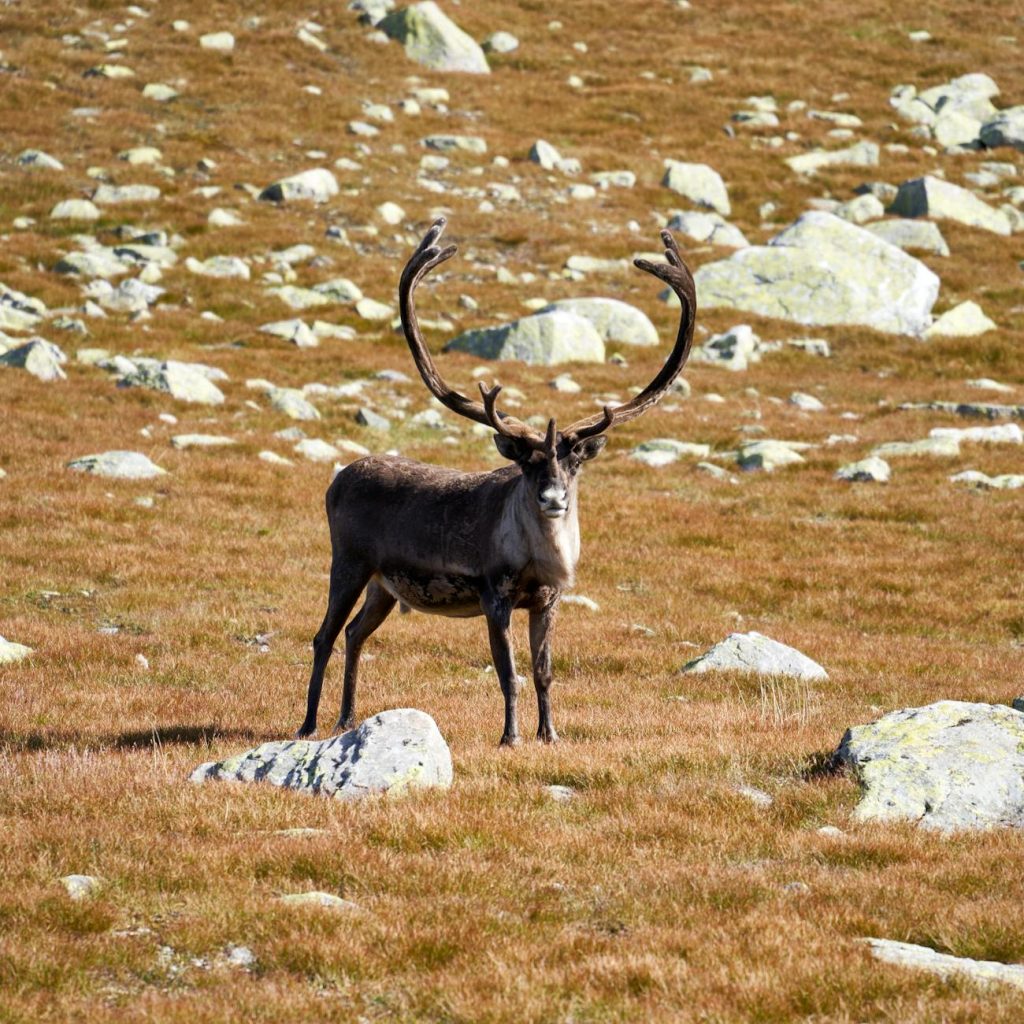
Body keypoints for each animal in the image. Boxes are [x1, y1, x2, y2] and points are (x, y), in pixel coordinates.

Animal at [297, 218, 696, 746]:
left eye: (574, 460)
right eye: (527, 462)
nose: (553, 498)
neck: (539, 561)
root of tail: (337, 480)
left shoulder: (548, 601)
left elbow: (544, 672)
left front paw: (550, 735)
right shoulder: (494, 594)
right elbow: (509, 673)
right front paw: (511, 737)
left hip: (384, 584)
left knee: (354, 632)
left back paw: (346, 718)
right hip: (349, 561)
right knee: (324, 634)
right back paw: (308, 723)